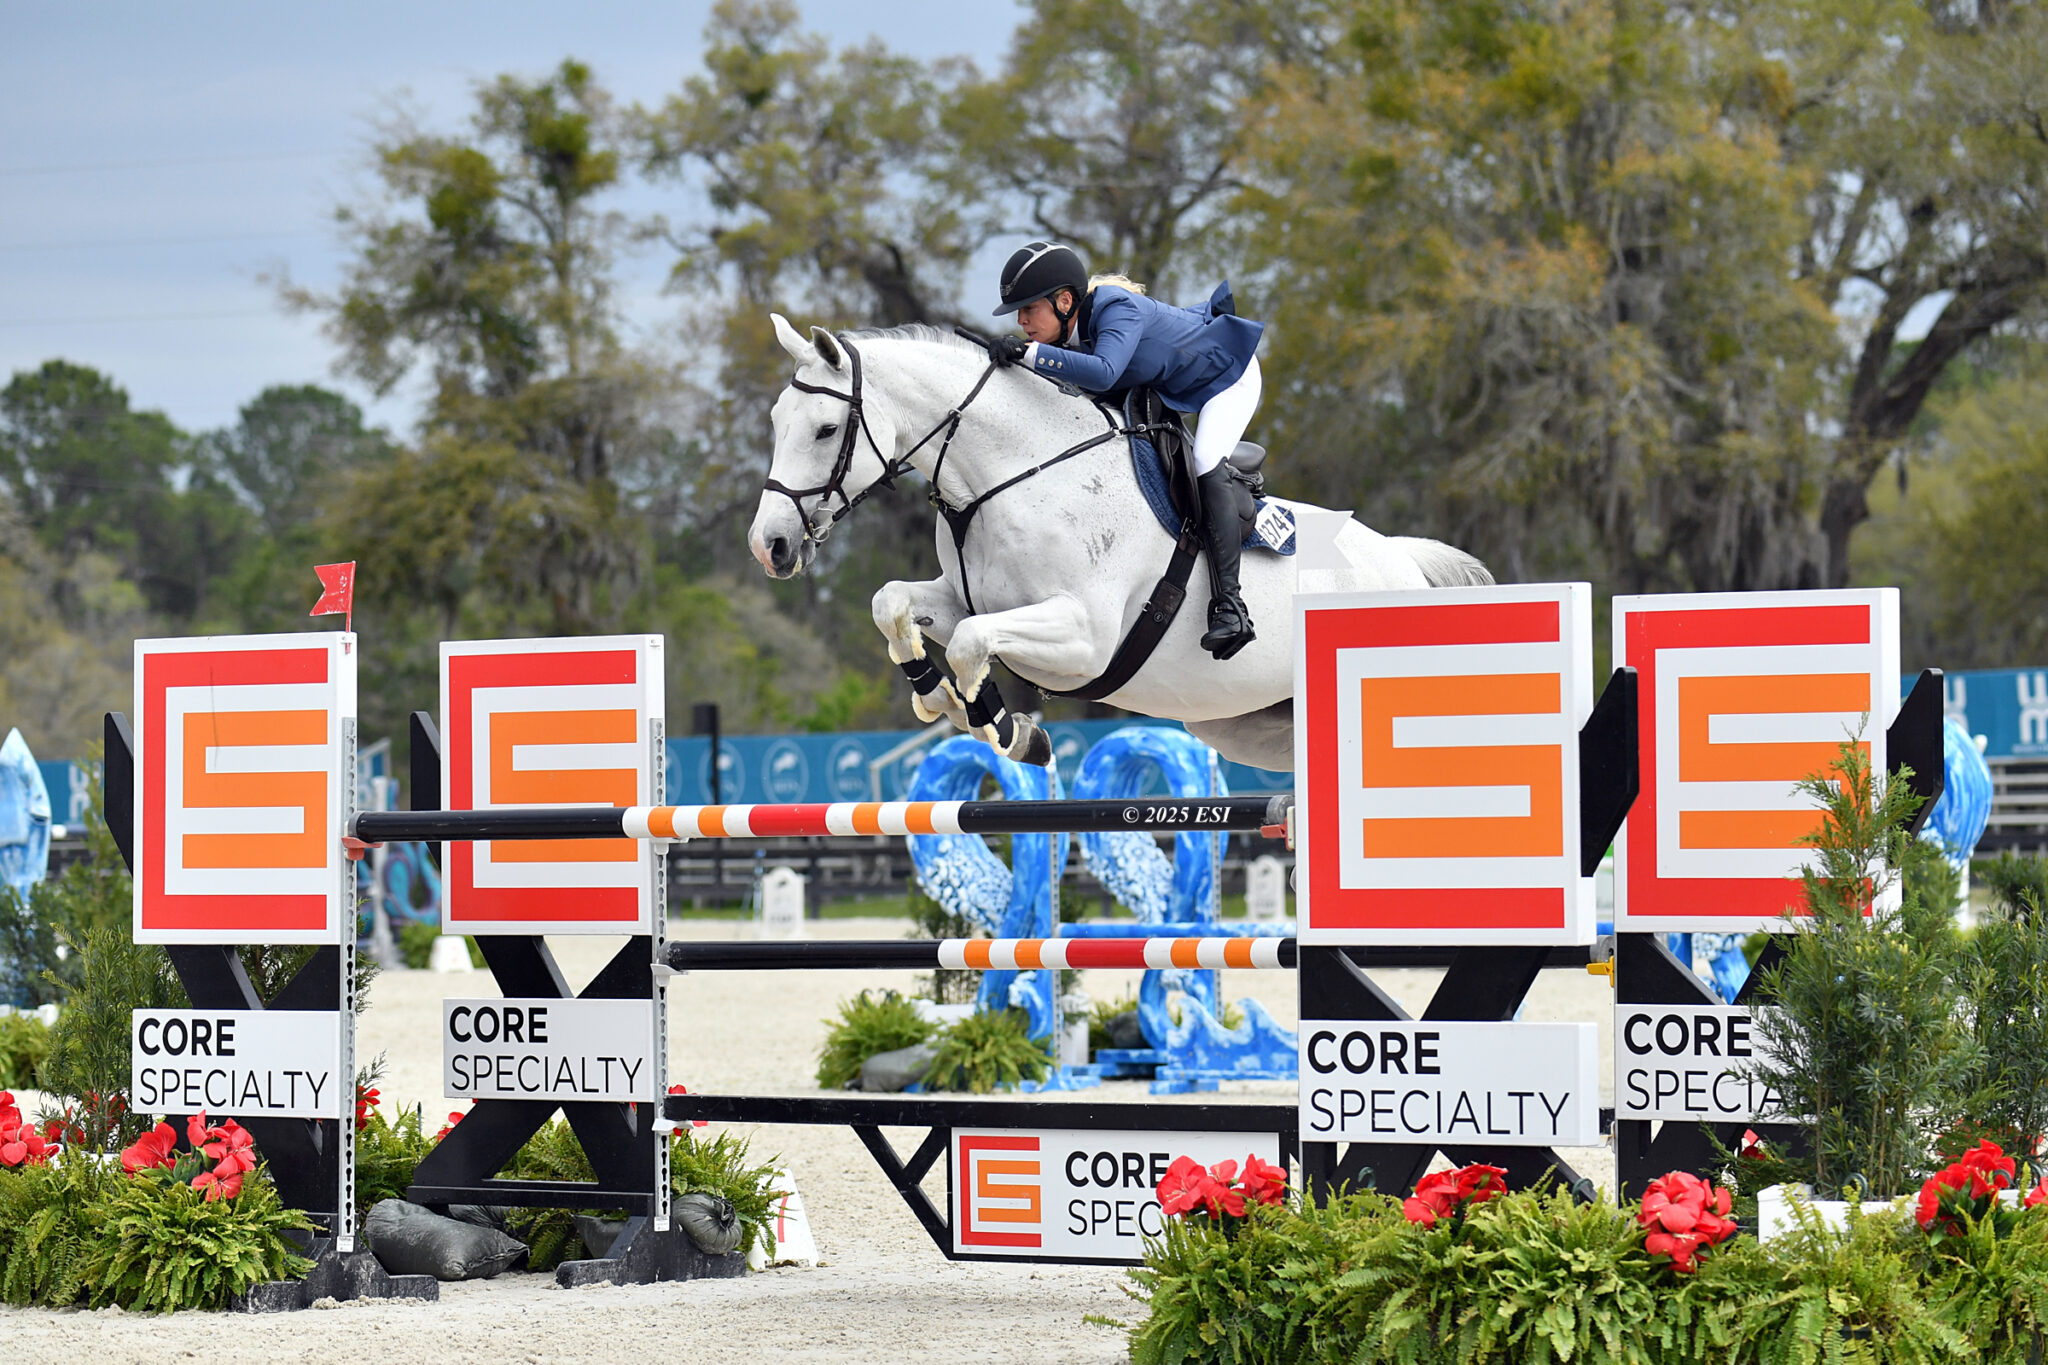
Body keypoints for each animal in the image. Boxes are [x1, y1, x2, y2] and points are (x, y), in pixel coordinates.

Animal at [747, 315, 1493, 771]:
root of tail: (1404, 560)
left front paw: (1008, 729)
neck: (1014, 472)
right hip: (1249, 724)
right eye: (778, 420)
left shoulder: (1084, 636)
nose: (769, 545)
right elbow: (893, 603)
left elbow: (970, 645)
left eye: (823, 430)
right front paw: (936, 697)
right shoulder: (966, 598)